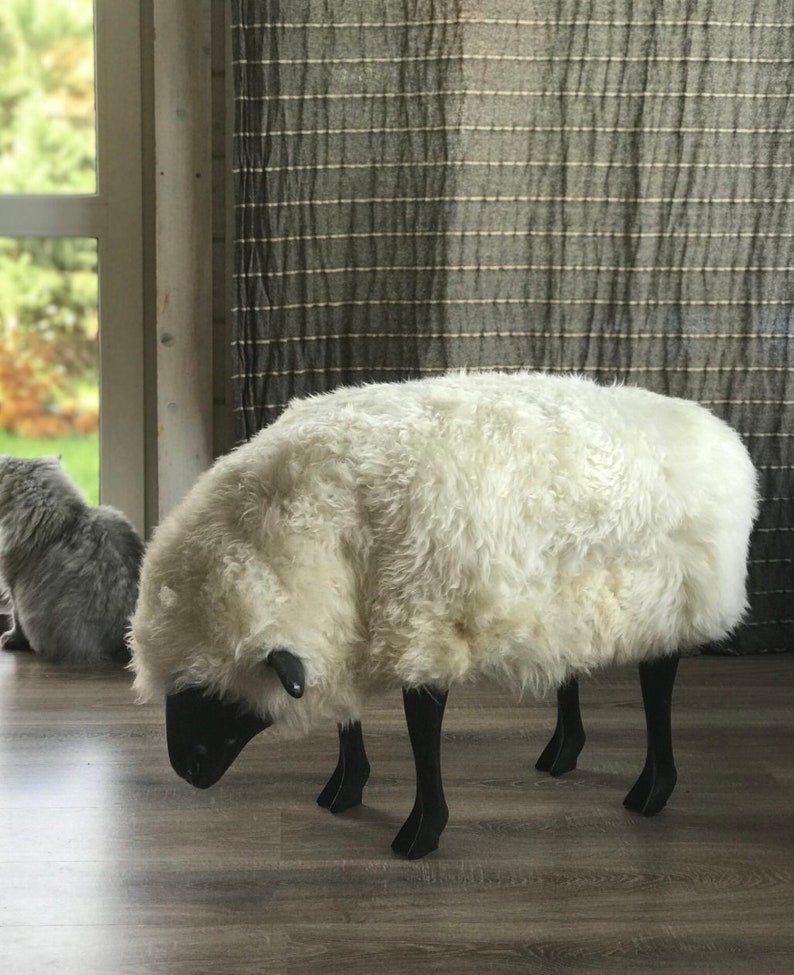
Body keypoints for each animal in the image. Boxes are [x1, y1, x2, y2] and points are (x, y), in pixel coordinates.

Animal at [130, 371, 758, 858]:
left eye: (218, 693)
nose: (187, 770)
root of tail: (717, 431)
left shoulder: (423, 625)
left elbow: (422, 734)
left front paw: (421, 833)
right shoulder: (354, 627)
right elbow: (348, 719)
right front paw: (343, 790)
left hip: (677, 602)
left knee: (659, 690)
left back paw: (652, 792)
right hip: (567, 611)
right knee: (567, 674)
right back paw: (561, 754)